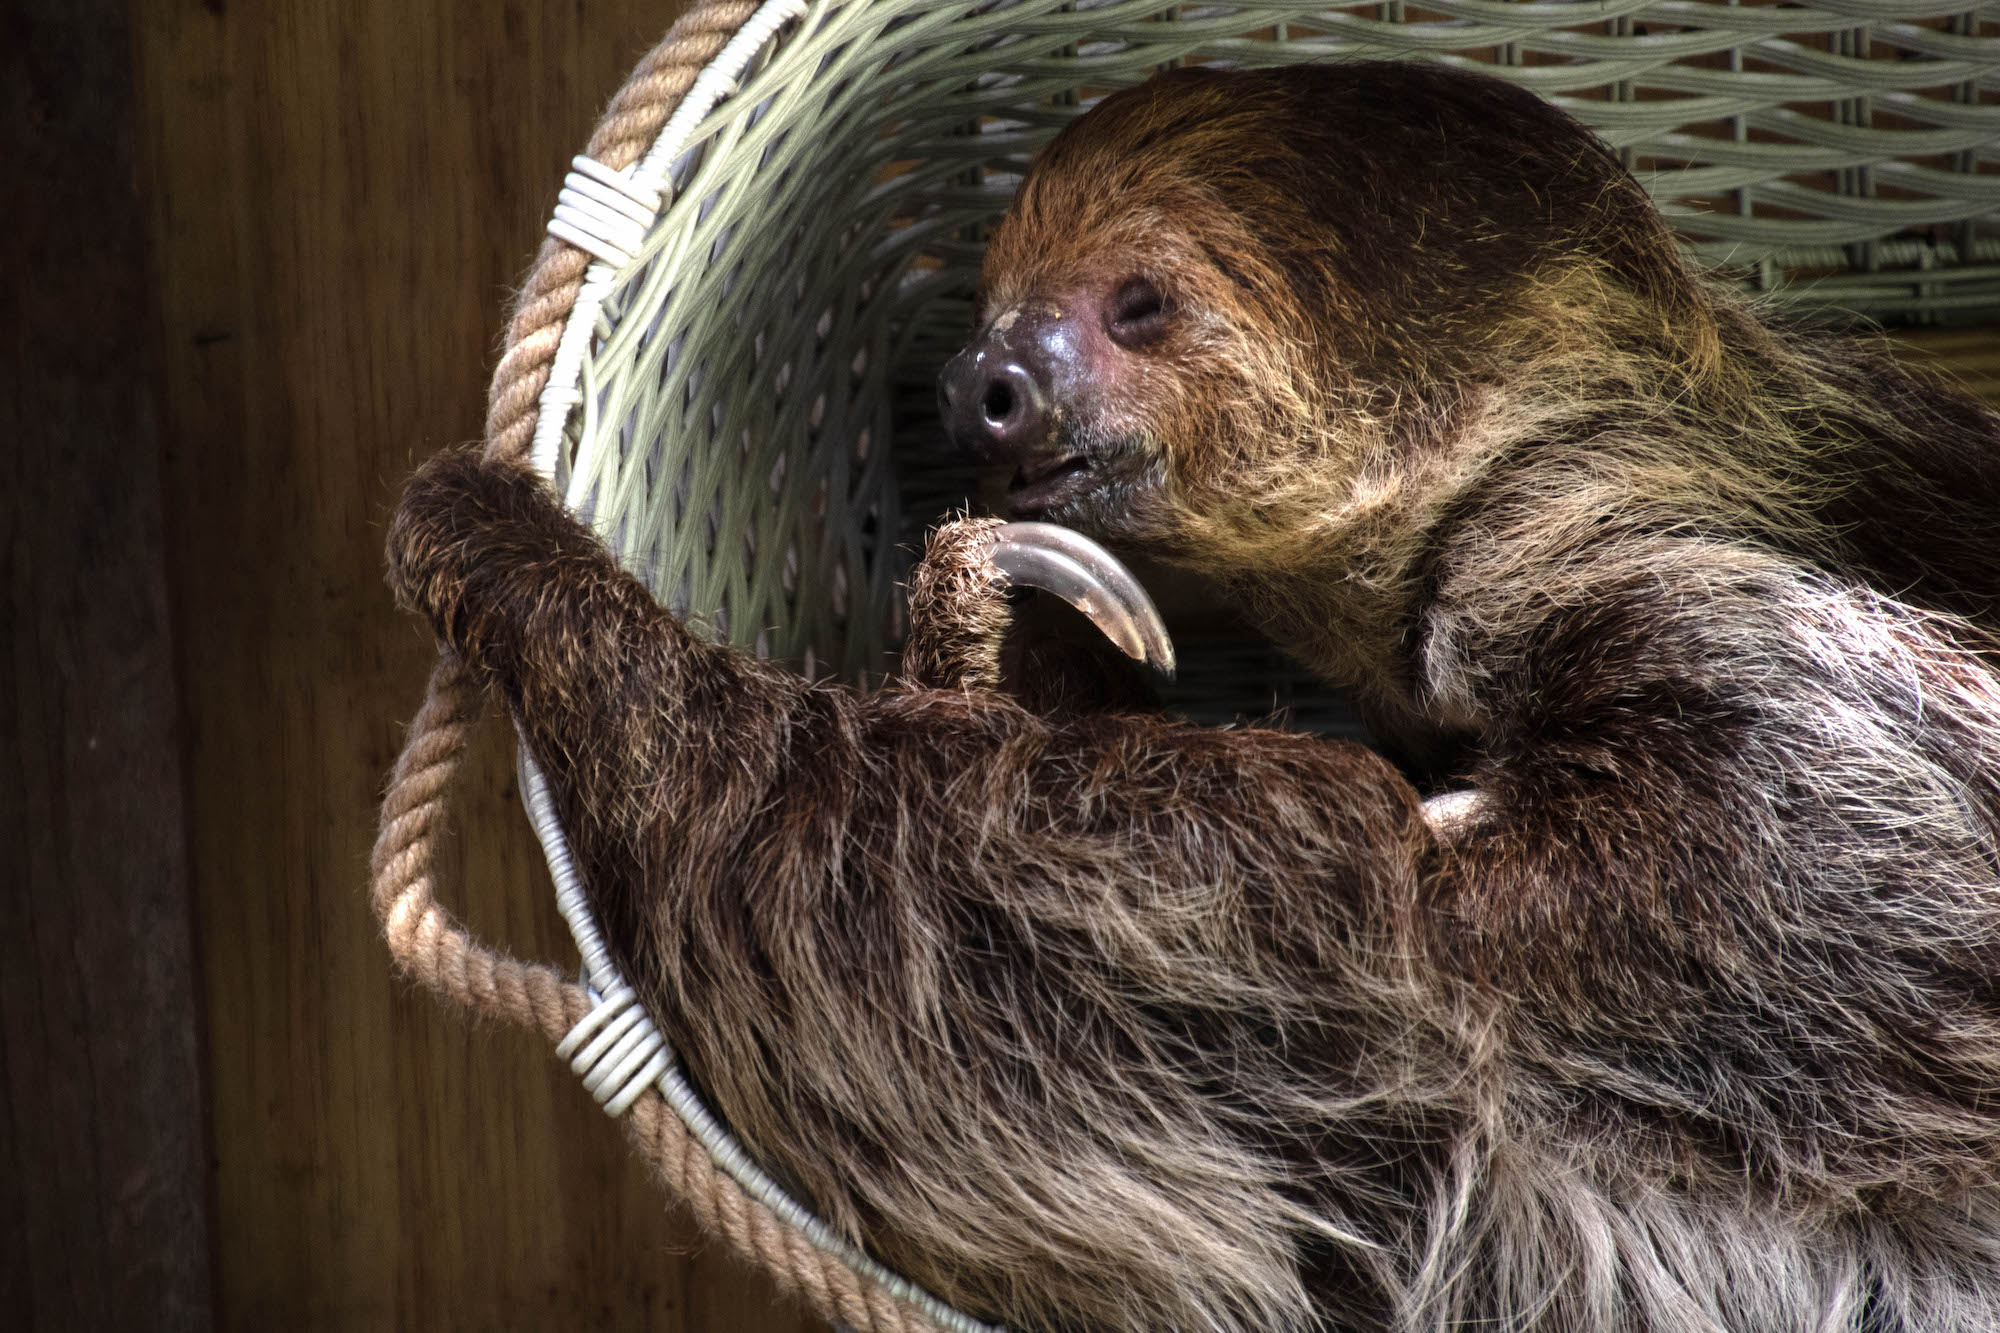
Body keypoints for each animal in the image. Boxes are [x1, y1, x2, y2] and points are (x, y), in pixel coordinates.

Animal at [389, 62, 2000, 1333]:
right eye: (992, 307)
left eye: (1140, 305)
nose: (979, 383)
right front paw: (1001, 638)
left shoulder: (1677, 605)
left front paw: (505, 541)